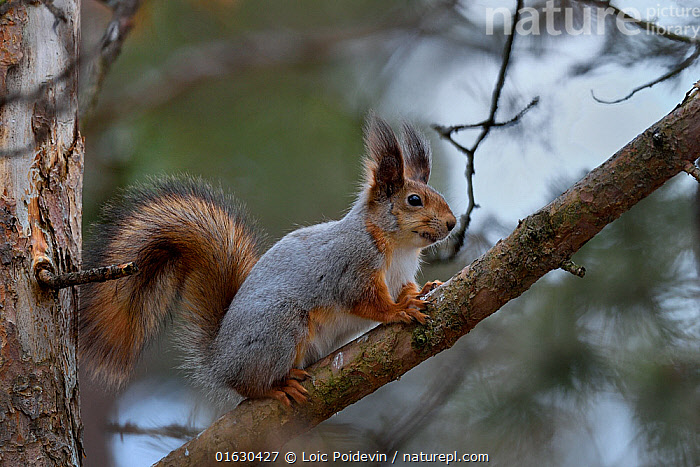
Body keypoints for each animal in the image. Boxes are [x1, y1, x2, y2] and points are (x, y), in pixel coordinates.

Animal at [79, 115, 456, 407]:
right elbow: (366, 302)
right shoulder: (350, 267)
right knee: (248, 386)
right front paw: (399, 309)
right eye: (414, 200)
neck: (399, 249)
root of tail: (219, 361)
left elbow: (405, 287)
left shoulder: (399, 273)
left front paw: (419, 291)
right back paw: (276, 387)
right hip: (280, 328)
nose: (453, 223)